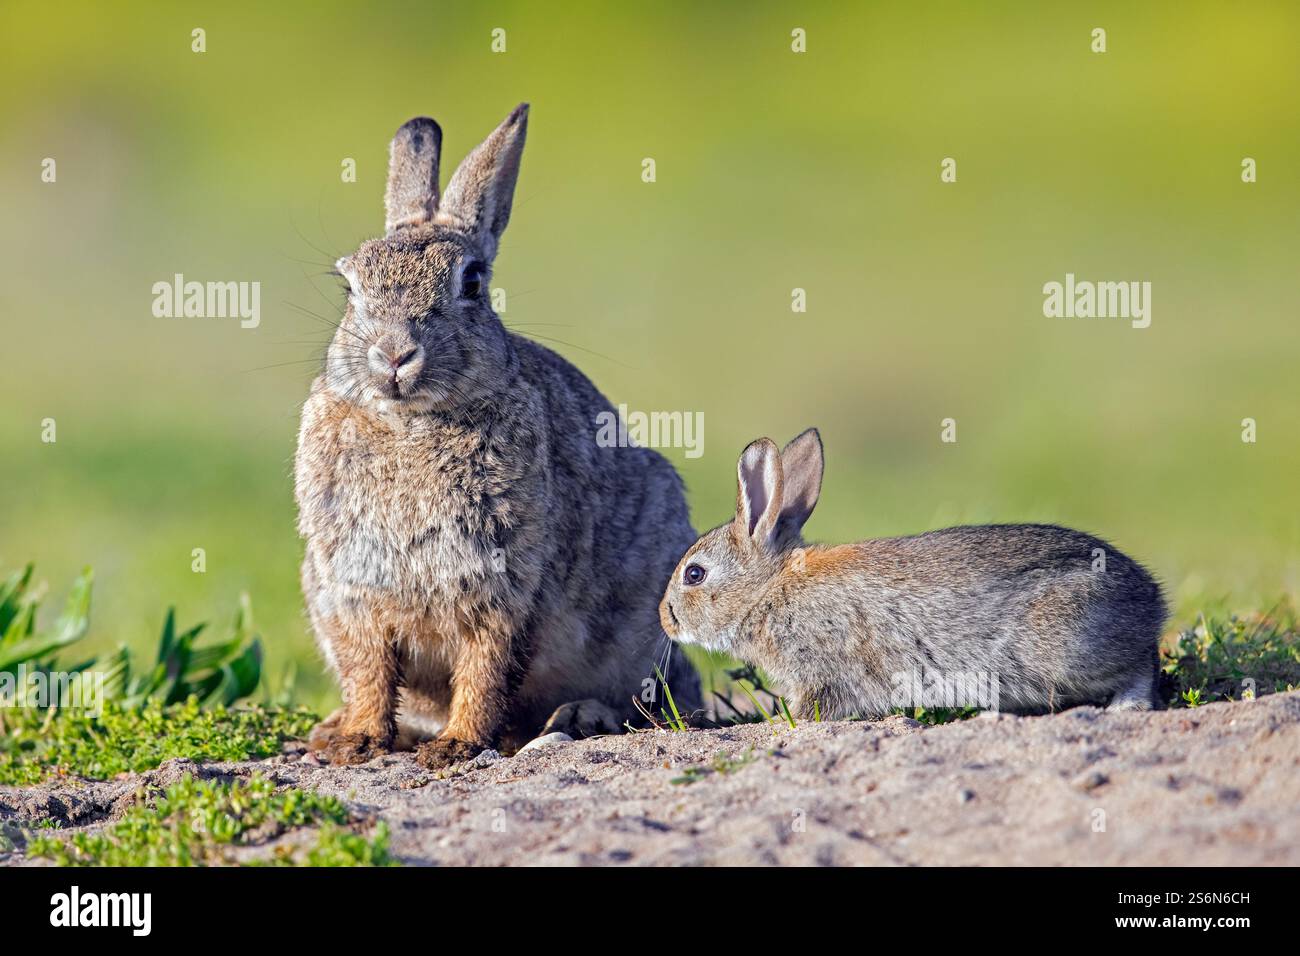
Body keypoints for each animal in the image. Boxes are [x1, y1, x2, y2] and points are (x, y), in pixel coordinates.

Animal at [295, 104, 700, 768]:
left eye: (472, 282)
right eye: (350, 287)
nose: (394, 354)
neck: (411, 422)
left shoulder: (505, 586)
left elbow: (486, 668)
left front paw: (458, 746)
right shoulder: (353, 588)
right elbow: (369, 669)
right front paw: (357, 739)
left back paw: (580, 717)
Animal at [660, 428, 1167, 720]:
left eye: (694, 574)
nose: (665, 618)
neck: (768, 589)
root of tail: (1153, 602)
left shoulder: (824, 667)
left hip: (1064, 647)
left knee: (1139, 666)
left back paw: (1127, 706)